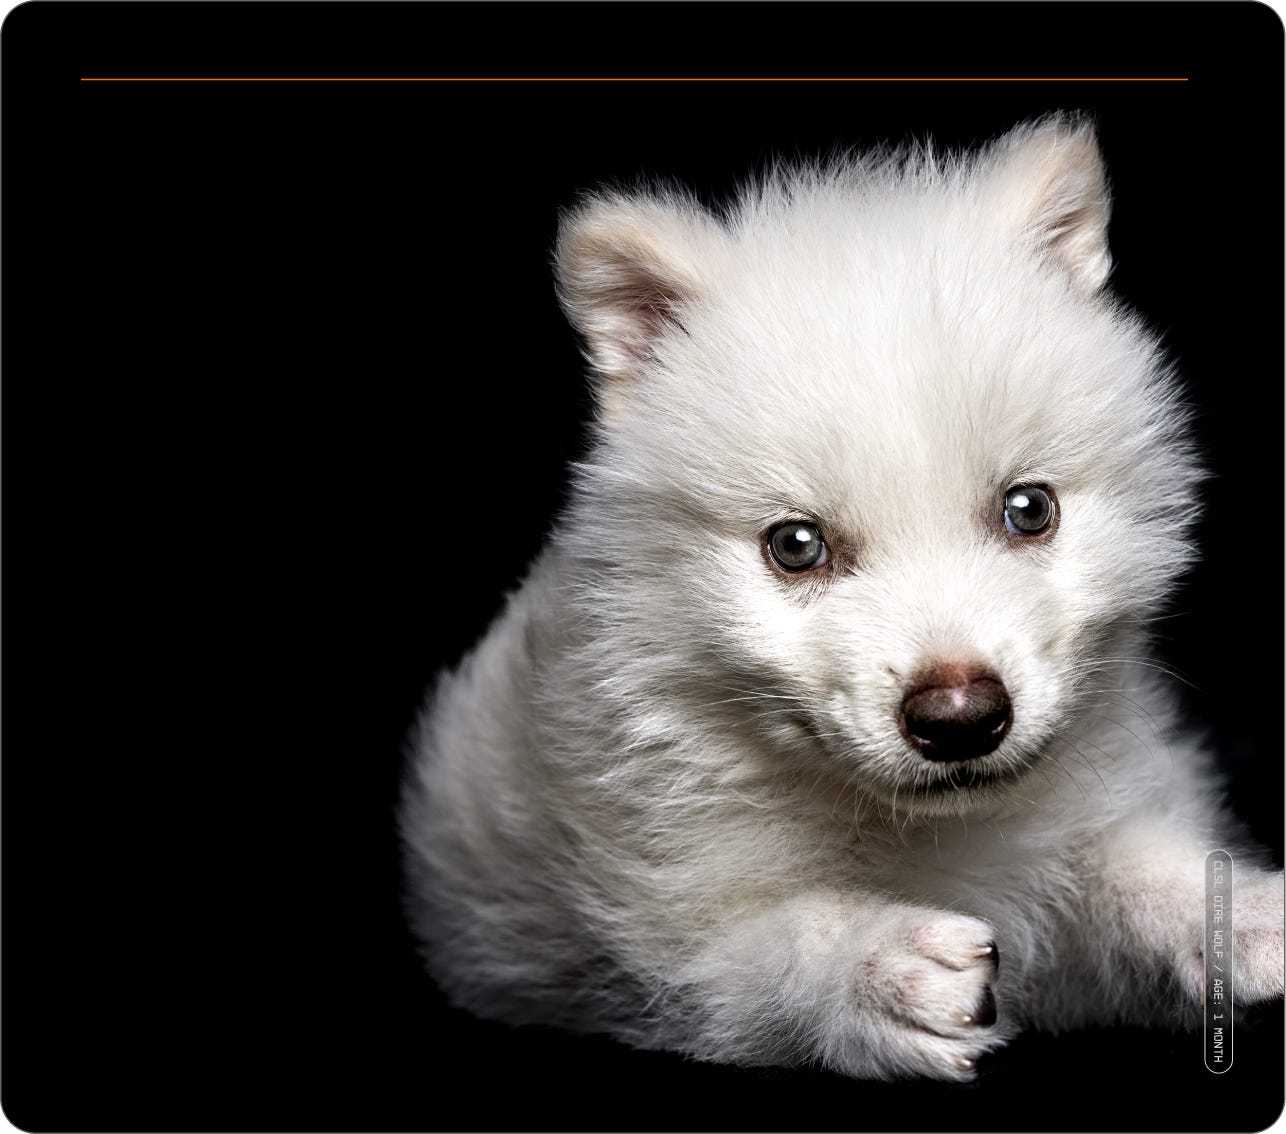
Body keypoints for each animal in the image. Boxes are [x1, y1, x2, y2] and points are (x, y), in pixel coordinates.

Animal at [400, 117, 1283, 1080]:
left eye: (1029, 510)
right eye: (796, 546)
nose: (961, 717)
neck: (919, 831)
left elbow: (1143, 870)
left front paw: (1254, 918)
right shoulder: (661, 939)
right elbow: (776, 944)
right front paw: (881, 967)